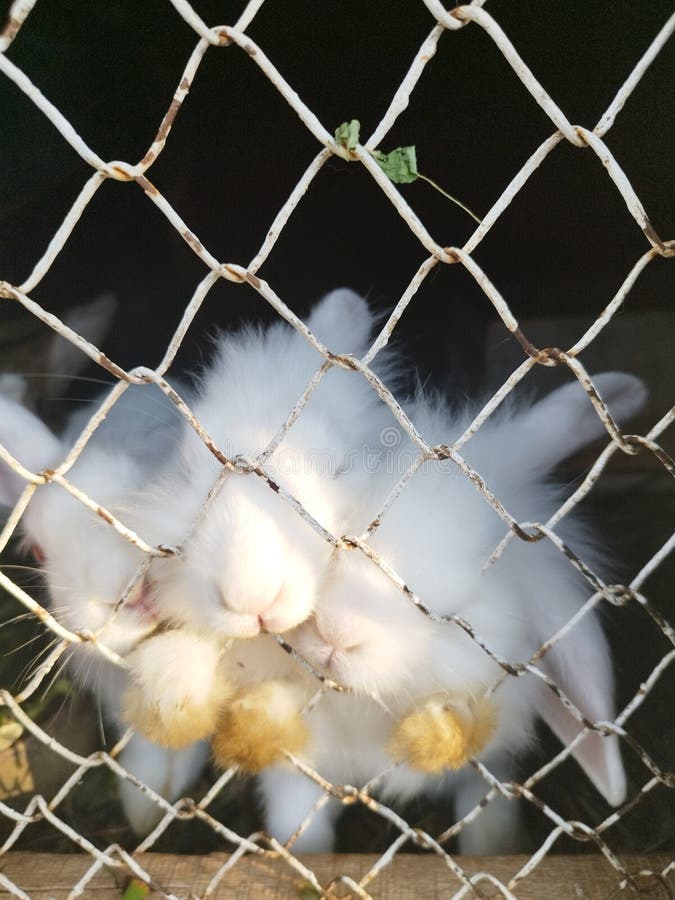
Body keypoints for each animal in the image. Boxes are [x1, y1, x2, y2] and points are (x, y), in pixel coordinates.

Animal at [209, 371, 646, 854]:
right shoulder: (301, 765)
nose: (337, 633)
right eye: (358, 533)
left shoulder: (492, 763)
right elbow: (298, 819)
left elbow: (487, 822)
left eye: (458, 617)